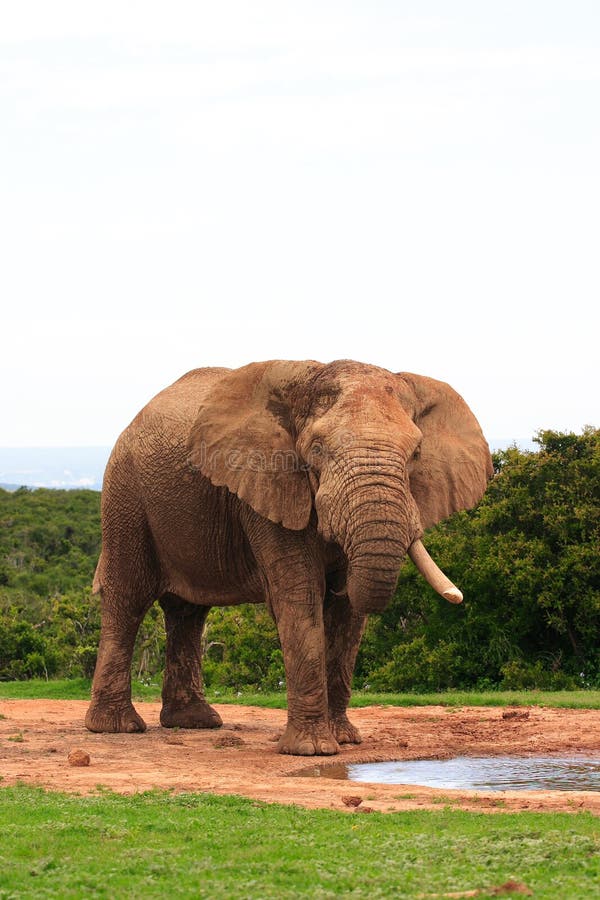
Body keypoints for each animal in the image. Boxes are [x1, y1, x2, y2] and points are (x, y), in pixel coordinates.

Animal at [85, 359, 492, 755]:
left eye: (416, 454)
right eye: (316, 449)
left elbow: (347, 615)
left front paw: (344, 739)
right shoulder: (269, 484)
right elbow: (299, 596)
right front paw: (312, 750)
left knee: (188, 612)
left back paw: (195, 722)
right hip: (125, 495)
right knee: (129, 598)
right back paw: (117, 727)